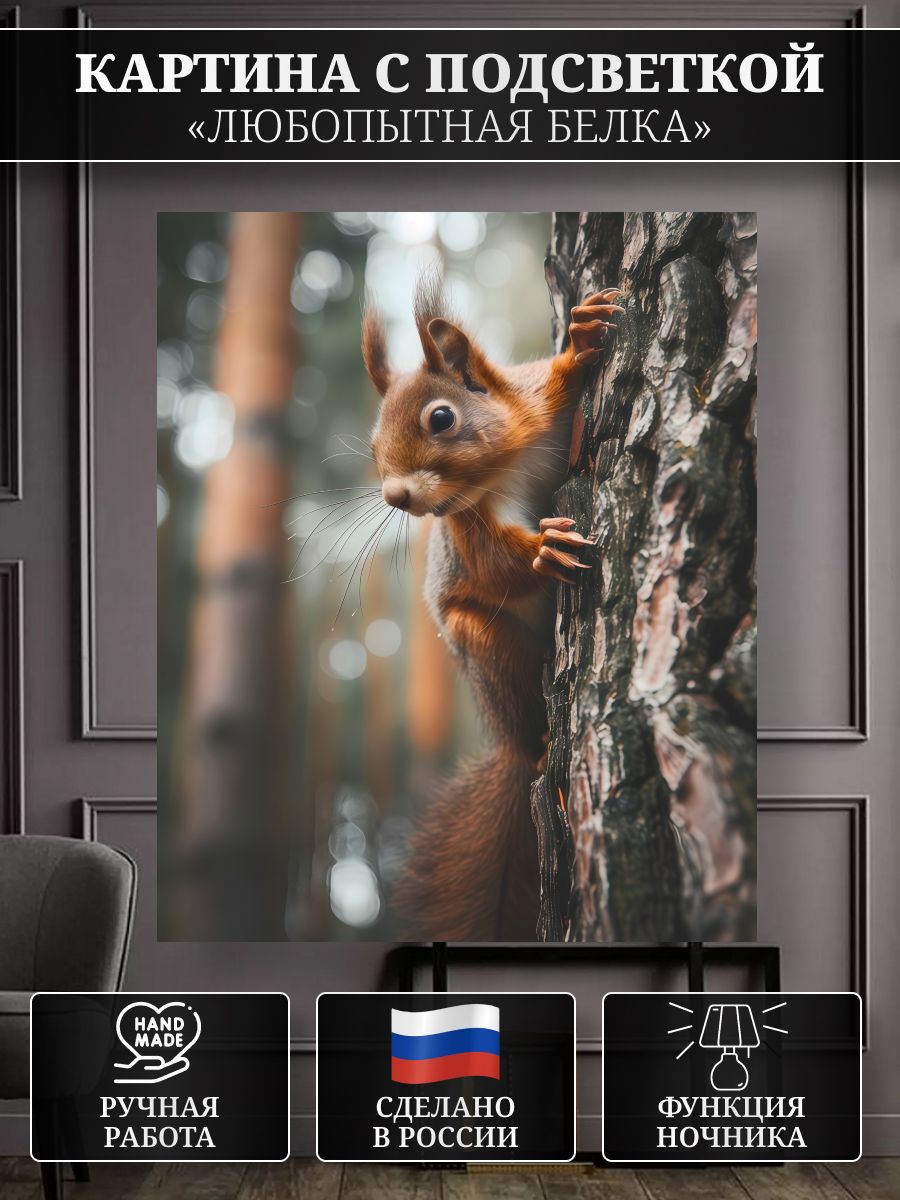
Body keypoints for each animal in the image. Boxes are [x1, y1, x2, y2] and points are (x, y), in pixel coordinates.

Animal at [361, 273, 623, 941]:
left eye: (442, 418)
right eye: (373, 447)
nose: (395, 496)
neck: (506, 462)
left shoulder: (535, 406)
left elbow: (553, 384)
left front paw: (581, 341)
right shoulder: (469, 527)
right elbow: (495, 568)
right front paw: (542, 552)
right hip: (485, 647)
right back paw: (539, 746)